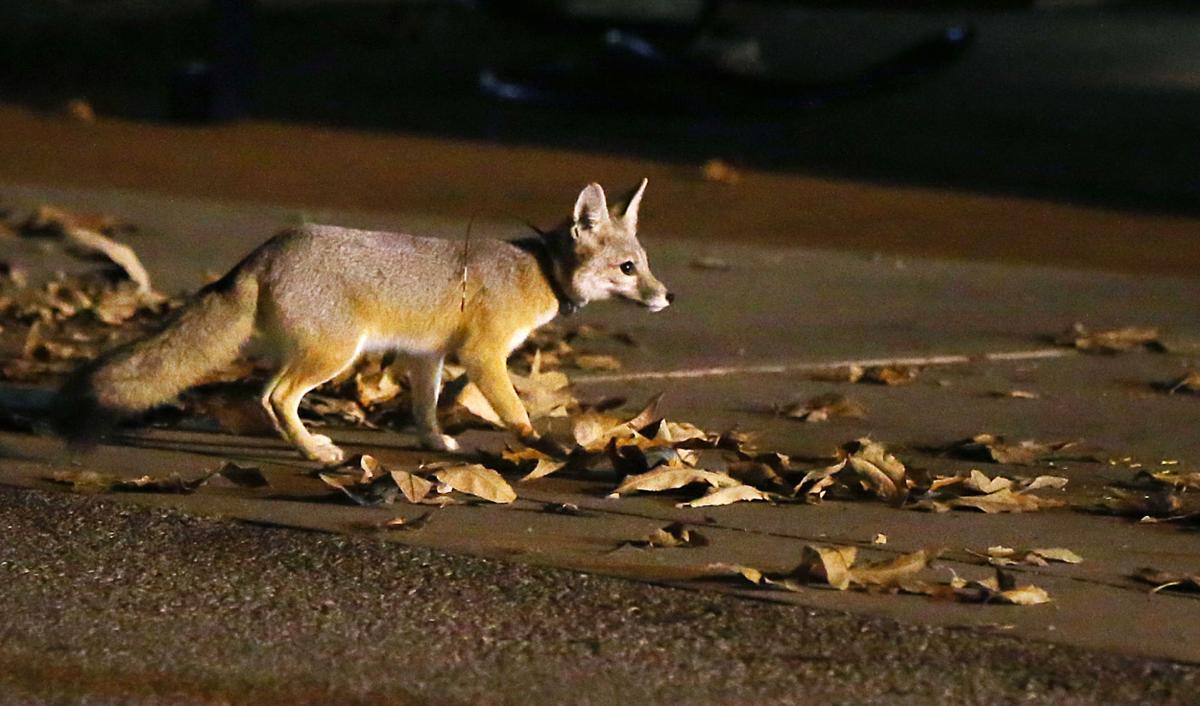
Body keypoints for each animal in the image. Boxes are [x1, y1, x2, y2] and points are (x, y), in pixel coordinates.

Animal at [52, 180, 672, 464]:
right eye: (628, 268)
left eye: (645, 263)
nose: (667, 295)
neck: (538, 271)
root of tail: (266, 250)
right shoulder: (483, 356)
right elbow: (517, 413)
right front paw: (544, 446)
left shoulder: (429, 355)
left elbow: (425, 408)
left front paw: (437, 441)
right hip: (334, 355)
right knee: (275, 397)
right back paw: (314, 452)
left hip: (315, 354)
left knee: (266, 397)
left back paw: (304, 445)